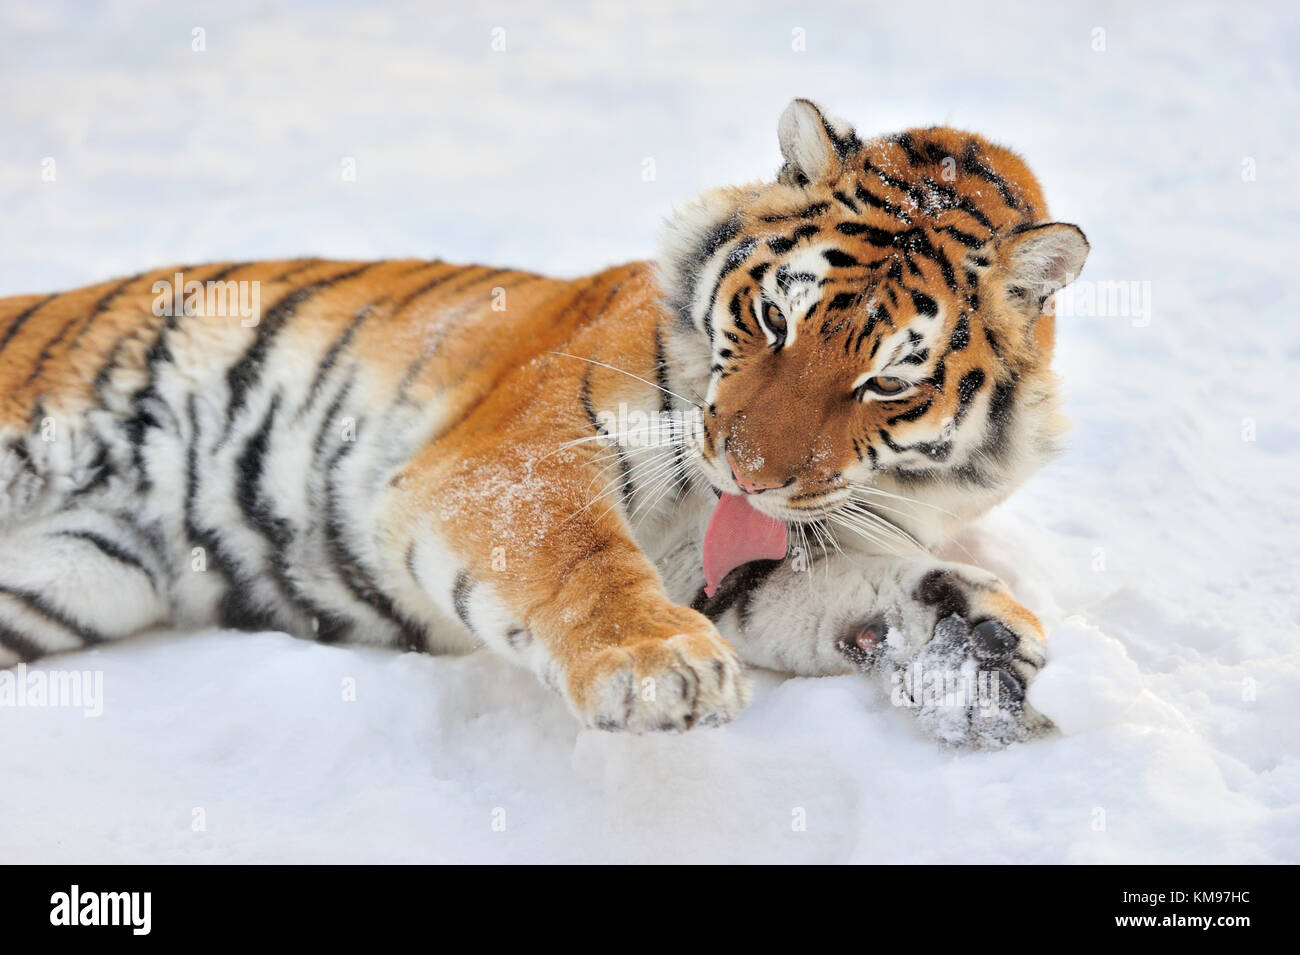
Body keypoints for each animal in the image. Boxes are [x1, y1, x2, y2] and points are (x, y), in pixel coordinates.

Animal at [0, 99, 1087, 746]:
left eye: (886, 383)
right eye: (775, 318)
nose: (747, 471)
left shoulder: (739, 567)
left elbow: (846, 585)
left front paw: (980, 622)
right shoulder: (513, 459)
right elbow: (580, 558)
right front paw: (658, 668)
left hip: (70, 573)